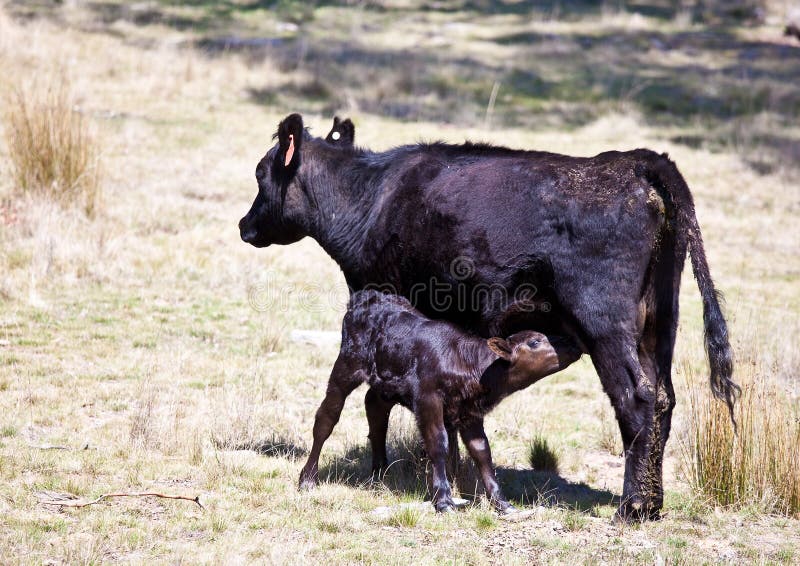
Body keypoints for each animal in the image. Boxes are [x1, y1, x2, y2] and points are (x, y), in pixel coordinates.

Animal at [238, 114, 738, 522]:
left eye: (261, 172)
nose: (245, 226)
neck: (372, 201)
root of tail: (634, 162)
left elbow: (379, 403)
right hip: (661, 321)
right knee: (665, 399)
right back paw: (653, 503)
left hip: (606, 323)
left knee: (637, 399)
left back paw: (631, 507)